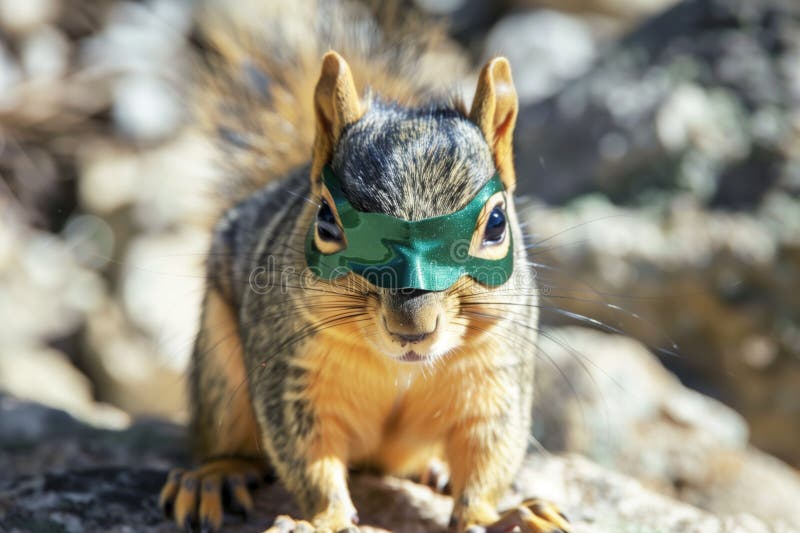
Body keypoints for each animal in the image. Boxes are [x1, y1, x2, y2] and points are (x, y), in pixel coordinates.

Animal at [158, 1, 571, 532]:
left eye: (497, 224)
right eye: (326, 222)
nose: (412, 326)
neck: (399, 368)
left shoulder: (494, 376)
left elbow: (487, 453)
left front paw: (507, 515)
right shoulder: (294, 375)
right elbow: (309, 458)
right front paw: (323, 519)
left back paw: (436, 472)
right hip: (220, 366)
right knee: (227, 433)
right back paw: (213, 475)